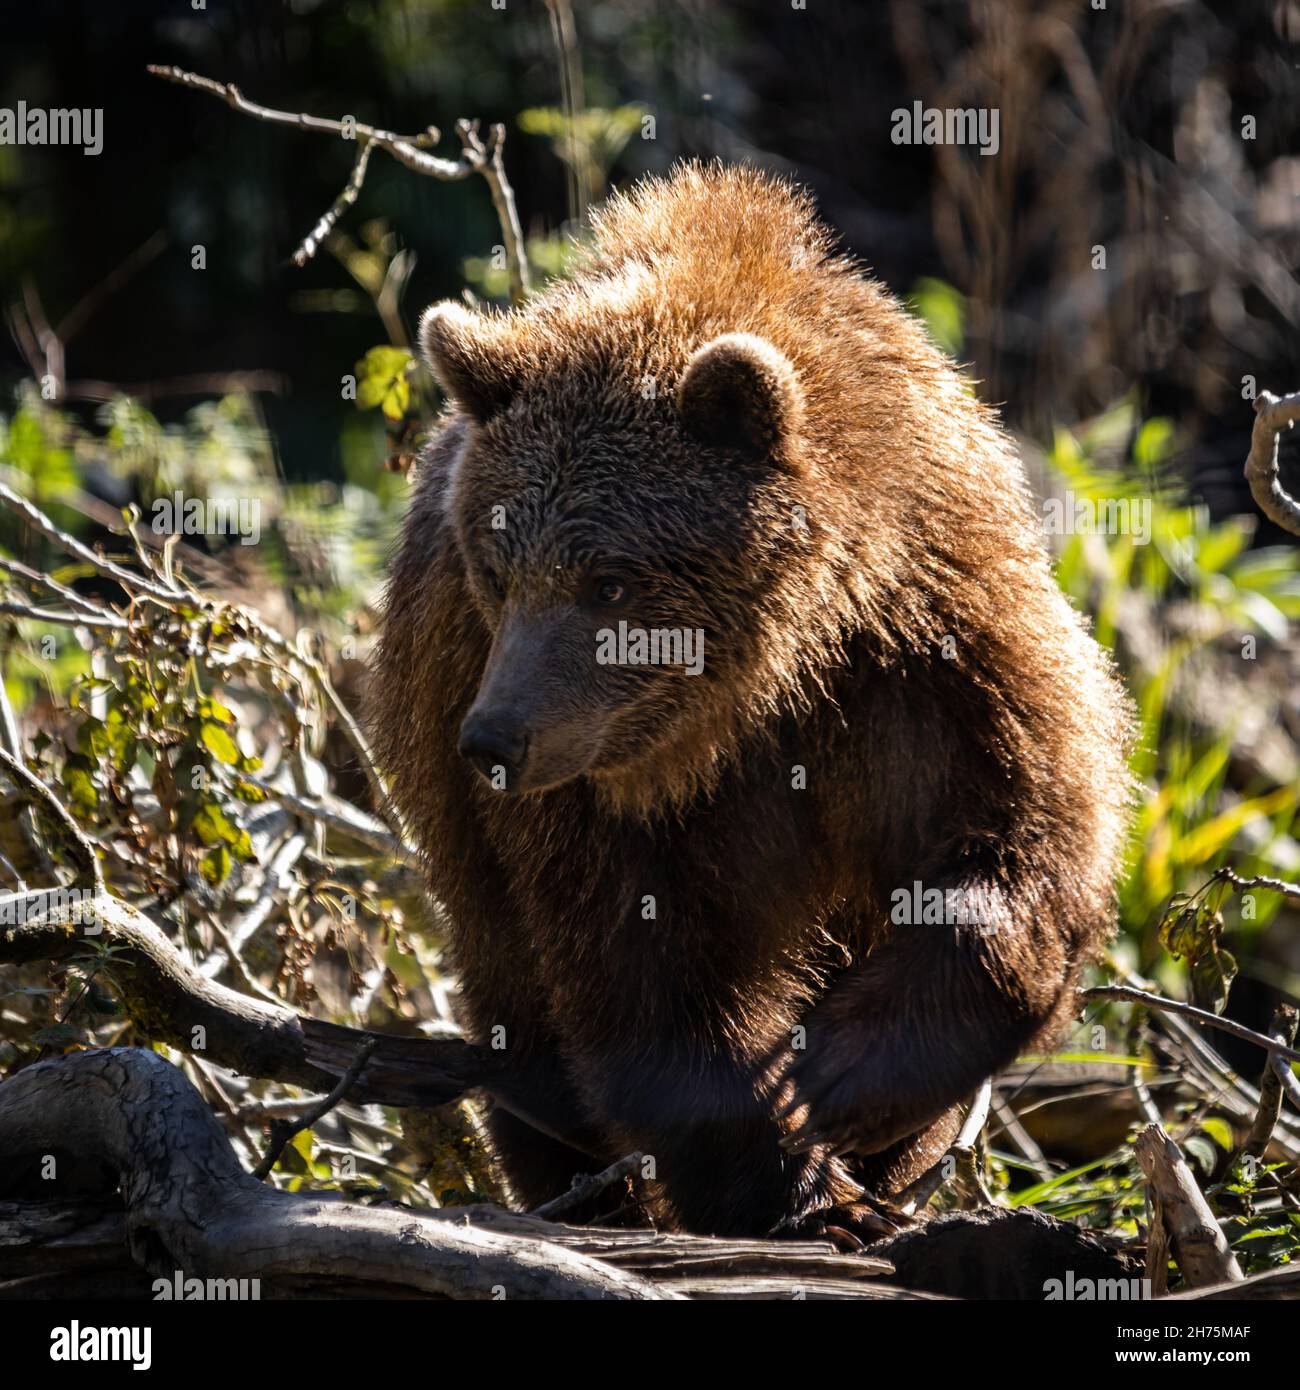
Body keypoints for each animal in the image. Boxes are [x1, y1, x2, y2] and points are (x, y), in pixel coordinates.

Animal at [371, 161, 1135, 1238]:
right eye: (495, 566)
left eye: (608, 580)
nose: (494, 739)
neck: (757, 688)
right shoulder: (598, 786)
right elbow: (651, 986)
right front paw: (796, 1184)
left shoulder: (931, 654)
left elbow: (1023, 845)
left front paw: (842, 1074)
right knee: (517, 1014)